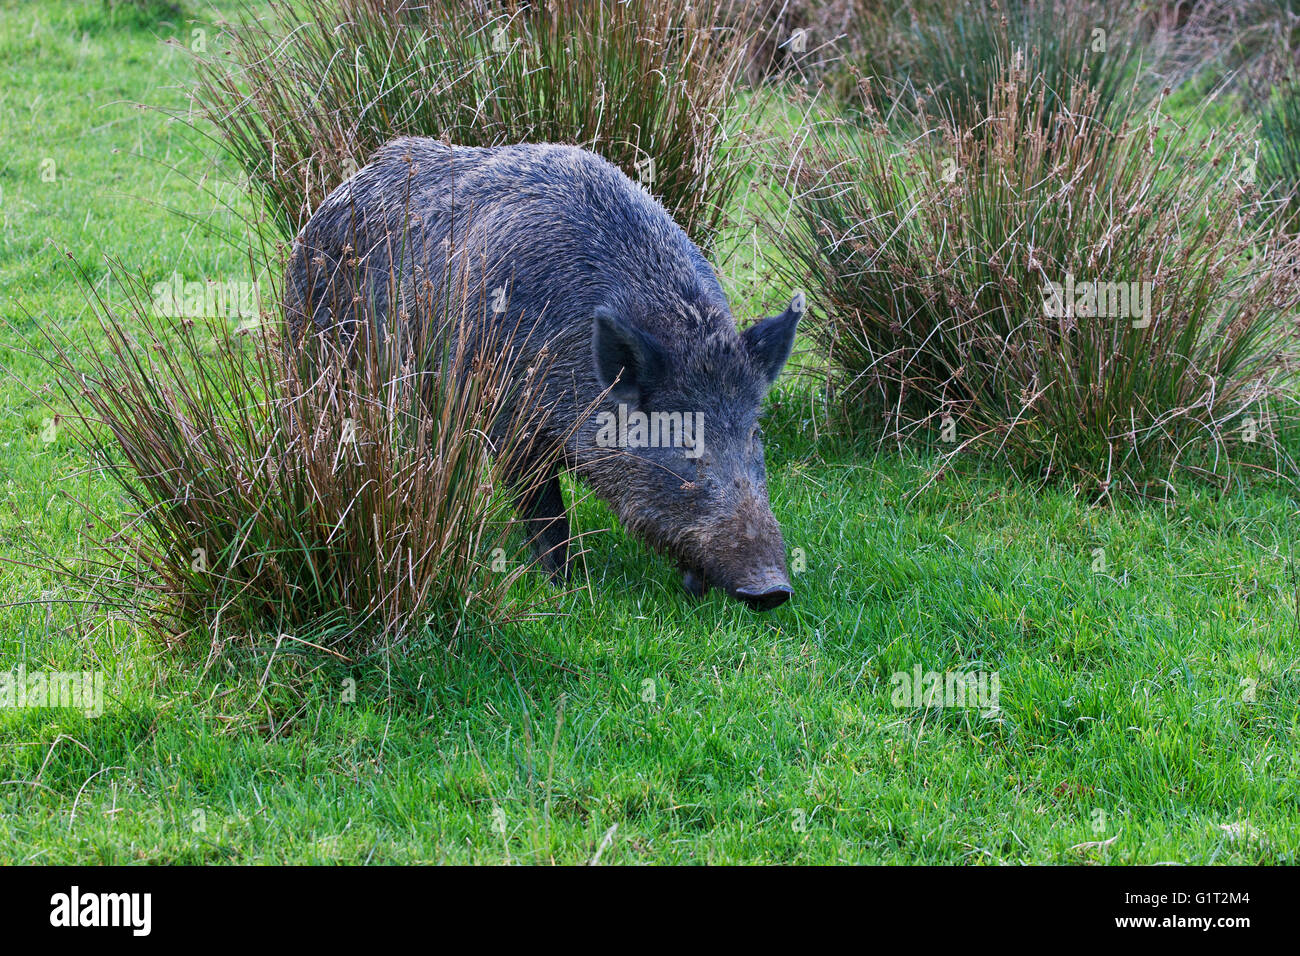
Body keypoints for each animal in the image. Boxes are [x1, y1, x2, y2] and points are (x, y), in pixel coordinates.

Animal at [285, 138, 802, 610]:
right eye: (680, 437)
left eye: (754, 434)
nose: (773, 589)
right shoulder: (507, 418)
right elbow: (543, 509)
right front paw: (565, 586)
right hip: (319, 356)